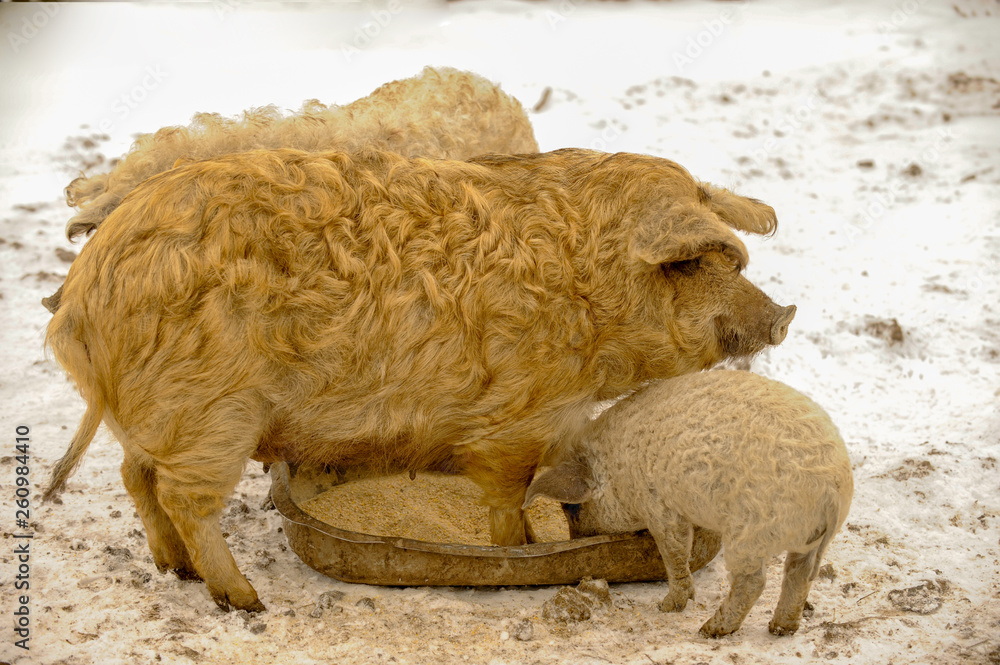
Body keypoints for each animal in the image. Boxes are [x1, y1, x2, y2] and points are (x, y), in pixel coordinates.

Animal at [44, 147, 795, 612]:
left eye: (733, 259)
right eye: (692, 264)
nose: (782, 315)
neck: (588, 291)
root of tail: (81, 295)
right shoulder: (514, 424)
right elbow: (507, 504)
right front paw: (519, 555)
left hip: (159, 417)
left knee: (136, 478)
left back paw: (174, 568)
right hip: (211, 414)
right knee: (184, 497)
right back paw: (244, 600)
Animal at [524, 370, 853, 637]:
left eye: (572, 509)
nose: (576, 539)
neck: (616, 469)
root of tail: (833, 490)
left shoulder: (659, 505)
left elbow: (675, 553)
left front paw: (667, 607)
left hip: (750, 534)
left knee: (753, 582)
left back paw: (709, 629)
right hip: (808, 541)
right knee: (798, 576)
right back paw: (781, 628)